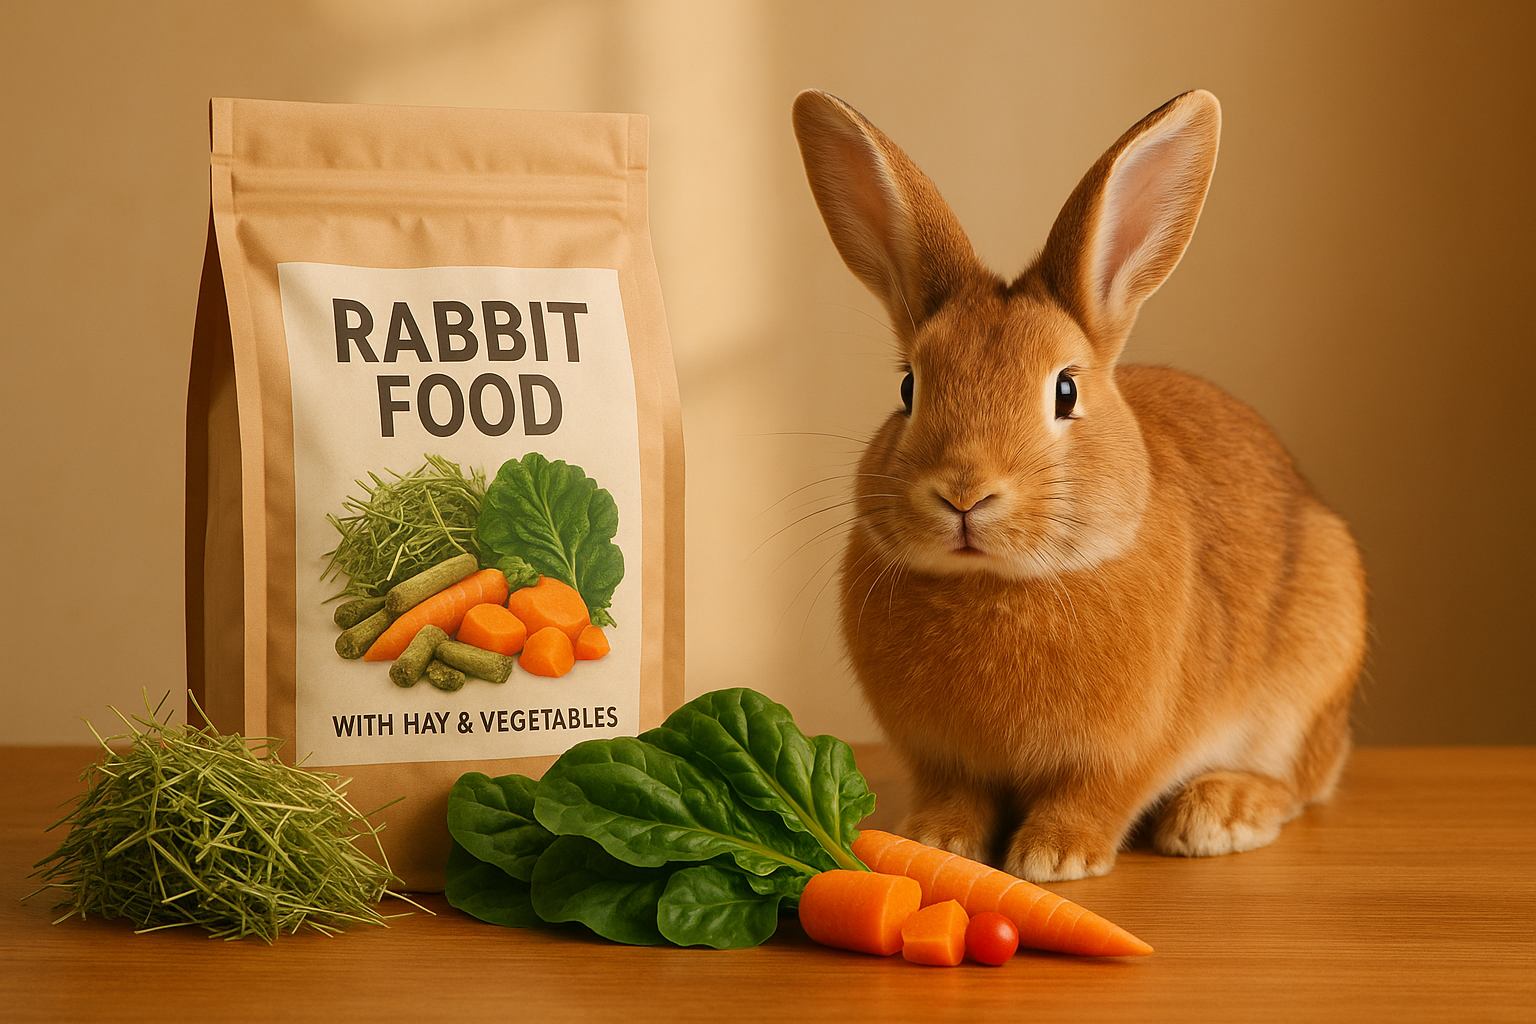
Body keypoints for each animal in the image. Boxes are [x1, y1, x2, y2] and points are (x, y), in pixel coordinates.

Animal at [791, 88, 1368, 882]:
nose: (965, 493)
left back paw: (1218, 814)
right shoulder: (942, 759)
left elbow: (1096, 796)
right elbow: (955, 795)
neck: (997, 585)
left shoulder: (1130, 752)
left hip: (1310, 673)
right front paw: (935, 842)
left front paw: (1053, 858)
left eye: (1065, 390)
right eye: (909, 388)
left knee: (1302, 781)